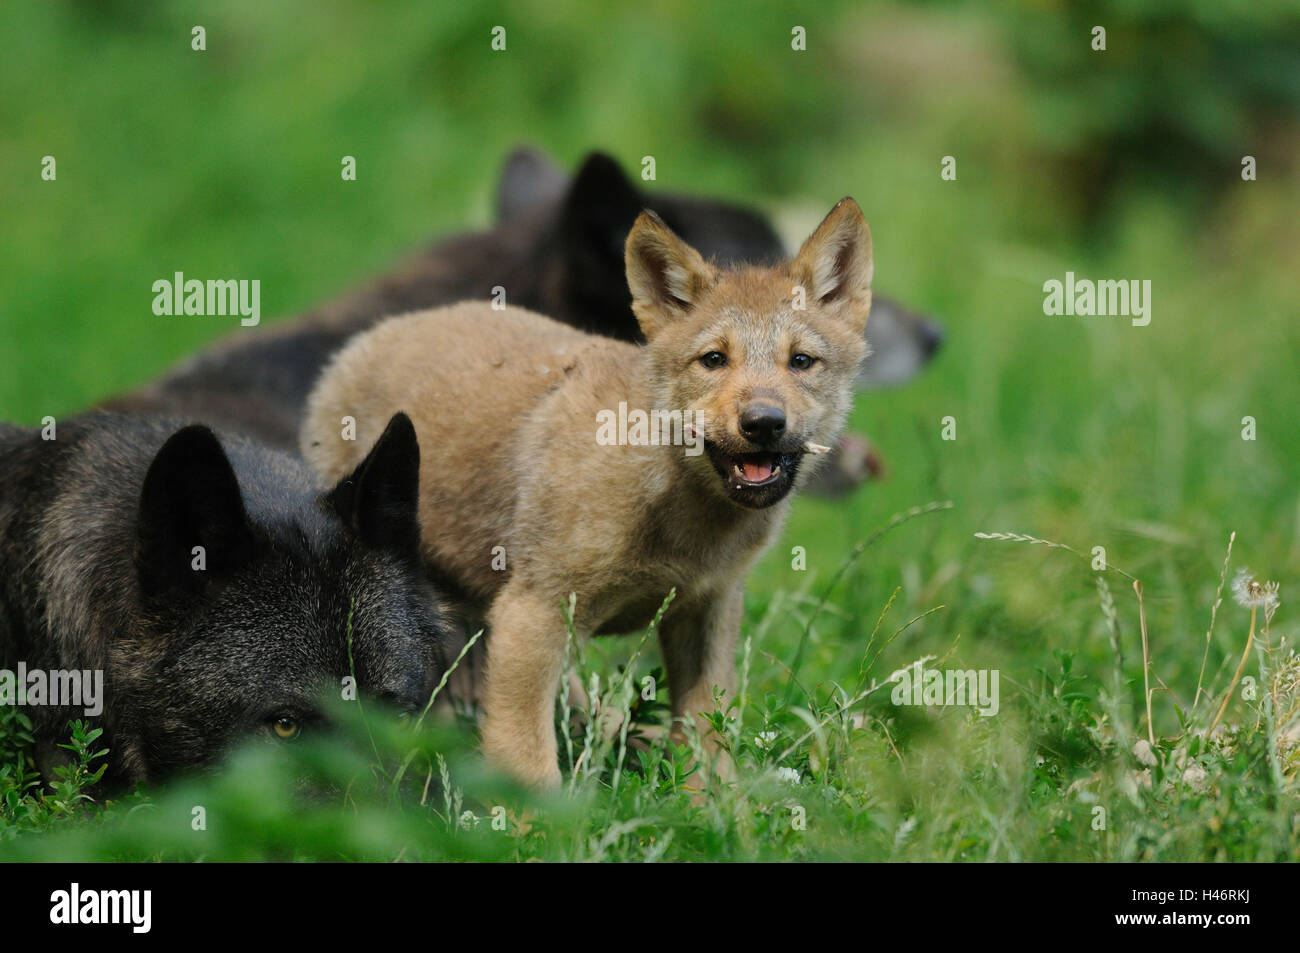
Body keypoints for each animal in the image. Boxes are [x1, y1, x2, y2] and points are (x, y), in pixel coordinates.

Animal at [299, 198, 874, 788]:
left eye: (801, 361)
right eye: (714, 359)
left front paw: (708, 808)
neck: (676, 521)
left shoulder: (707, 606)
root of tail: (368, 337)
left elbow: (705, 749)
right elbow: (529, 766)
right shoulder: (533, 612)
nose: (763, 422)